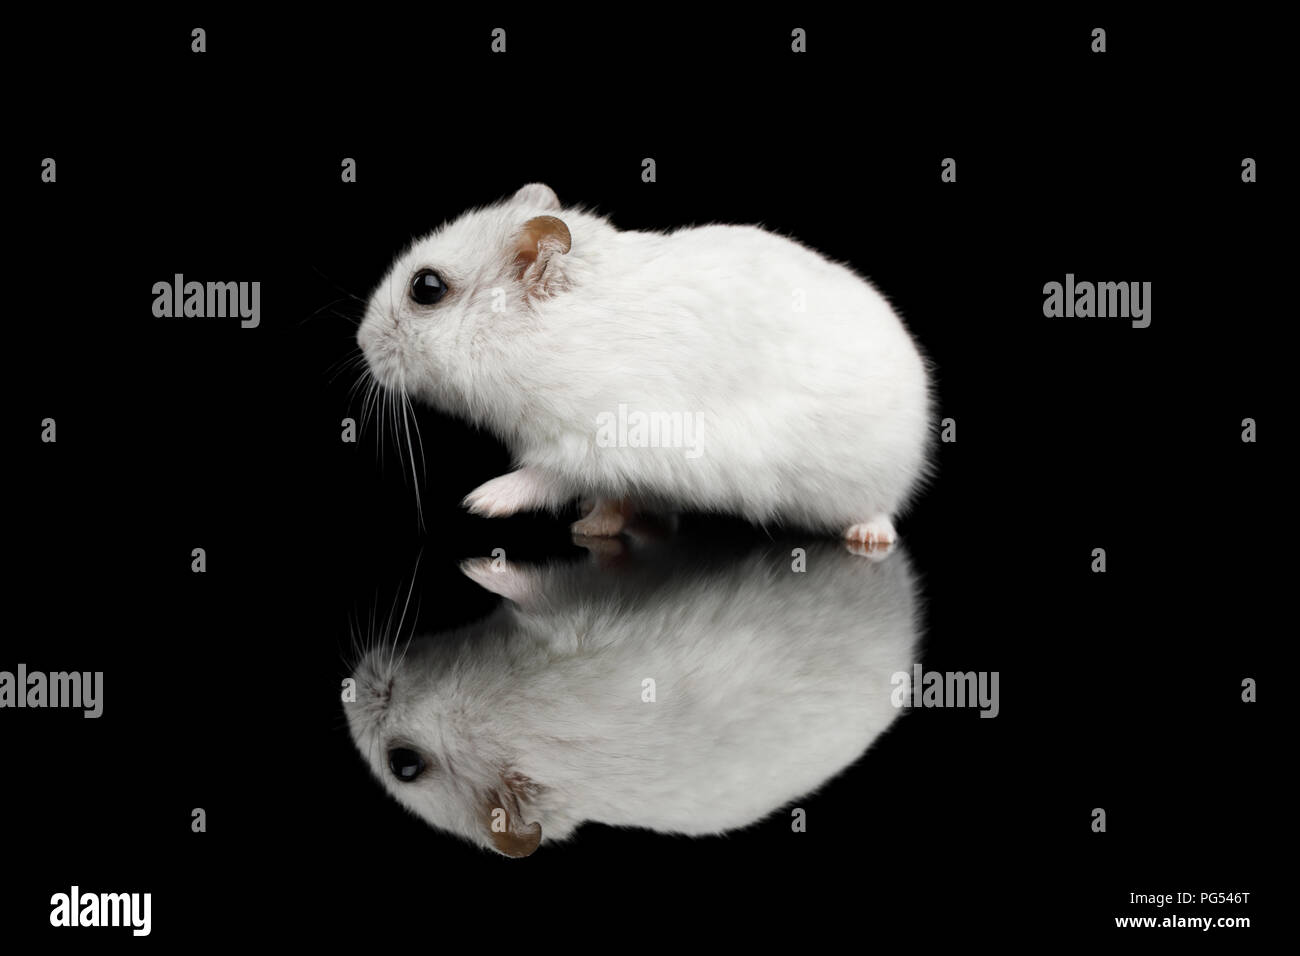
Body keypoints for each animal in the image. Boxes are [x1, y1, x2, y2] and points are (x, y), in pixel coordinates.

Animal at [343, 537, 921, 857]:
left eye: (403, 765)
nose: (344, 686)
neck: (491, 711)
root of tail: (909, 604)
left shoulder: (565, 618)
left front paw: (472, 566)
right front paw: (477, 566)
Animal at [357, 183, 932, 553]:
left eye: (427, 287)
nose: (361, 342)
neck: (537, 339)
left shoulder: (599, 439)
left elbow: (548, 476)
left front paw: (481, 502)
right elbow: (608, 500)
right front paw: (590, 528)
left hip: (873, 481)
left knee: (881, 512)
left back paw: (867, 535)